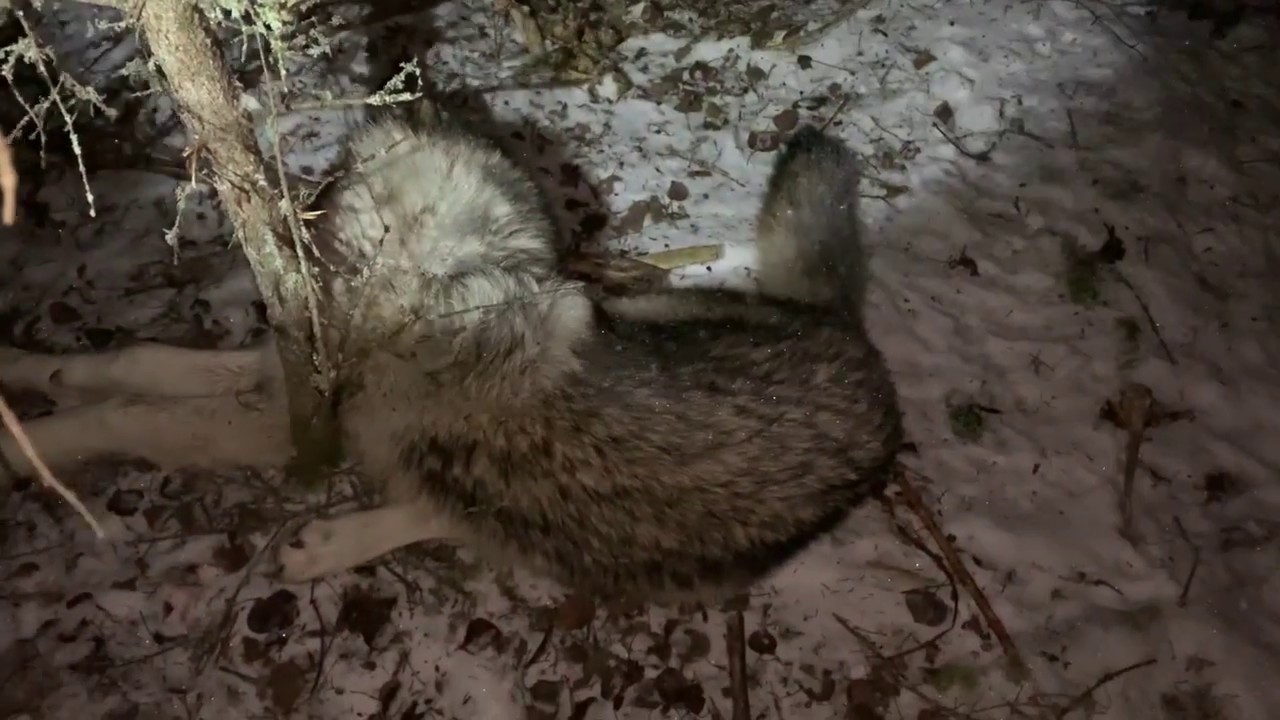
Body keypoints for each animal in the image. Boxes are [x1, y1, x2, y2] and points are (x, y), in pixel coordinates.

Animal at [0, 103, 903, 602]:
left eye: (321, 198)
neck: (421, 281)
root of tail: (851, 338)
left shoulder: (284, 420)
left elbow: (129, 413)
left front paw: (34, 446)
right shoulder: (275, 374)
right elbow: (133, 363)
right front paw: (32, 372)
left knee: (443, 516)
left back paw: (329, 545)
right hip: (627, 315)